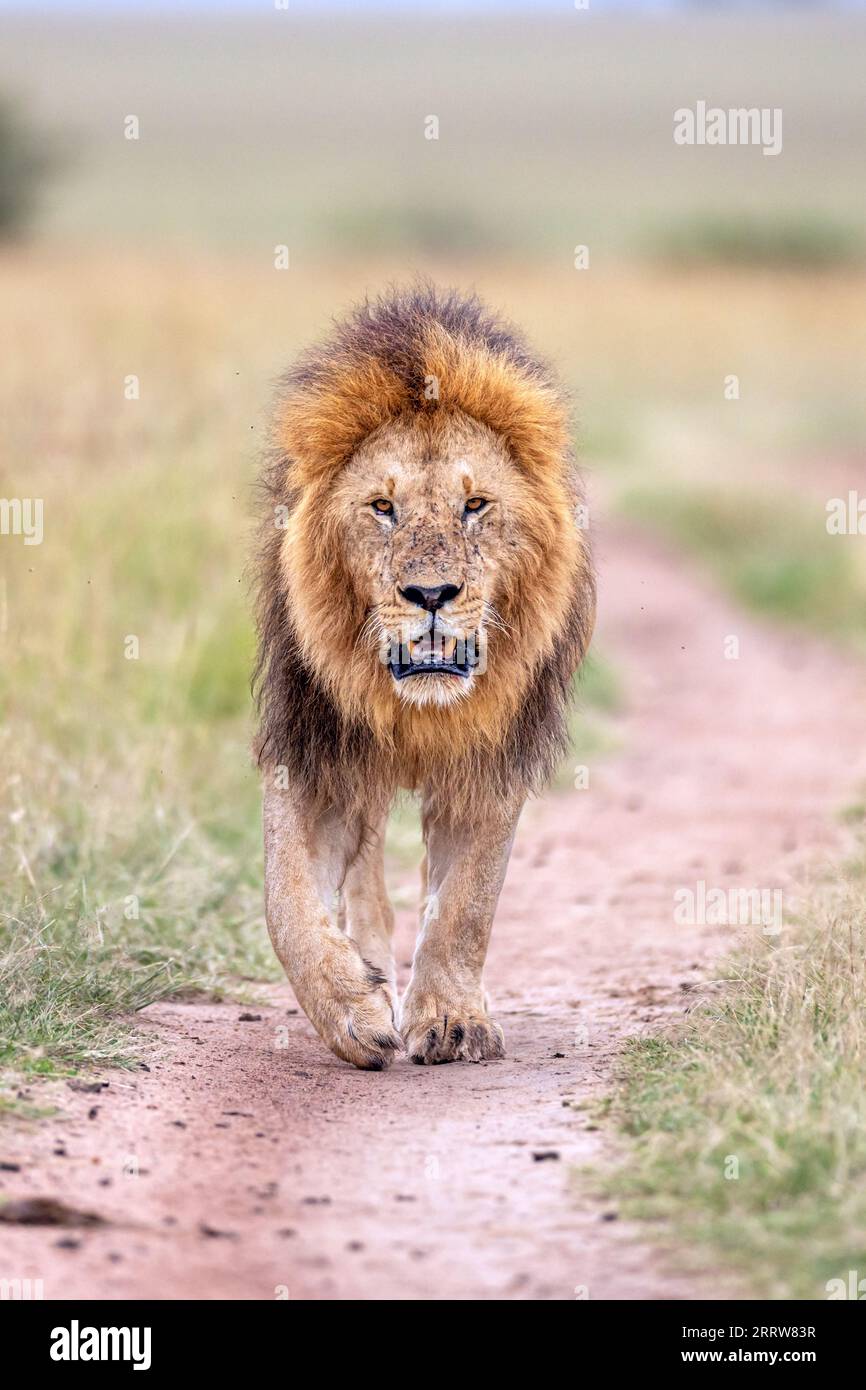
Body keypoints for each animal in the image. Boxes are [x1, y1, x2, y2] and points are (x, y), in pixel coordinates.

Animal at [254, 283, 595, 1070]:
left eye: (475, 505)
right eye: (383, 507)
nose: (431, 594)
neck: (418, 709)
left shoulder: (491, 760)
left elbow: (466, 904)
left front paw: (449, 1018)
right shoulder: (314, 752)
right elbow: (286, 901)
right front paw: (351, 1009)